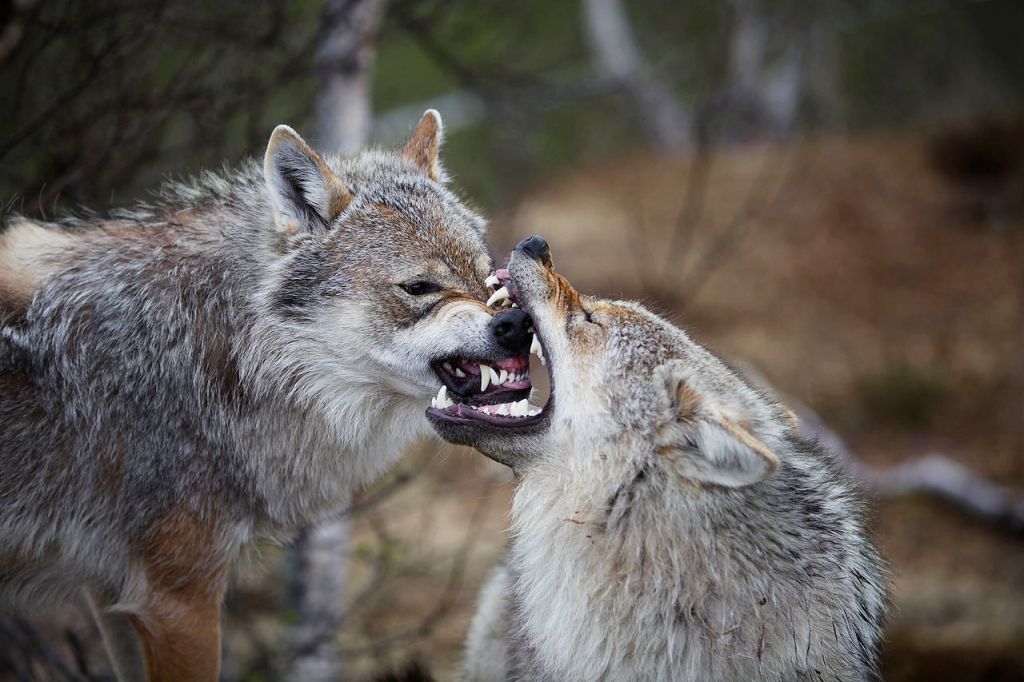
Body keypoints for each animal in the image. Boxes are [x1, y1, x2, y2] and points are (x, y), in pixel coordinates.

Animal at [0, 111, 537, 681]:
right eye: (418, 288)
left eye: (486, 275)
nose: (516, 324)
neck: (227, 352)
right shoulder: (176, 598)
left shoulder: (111, 592)